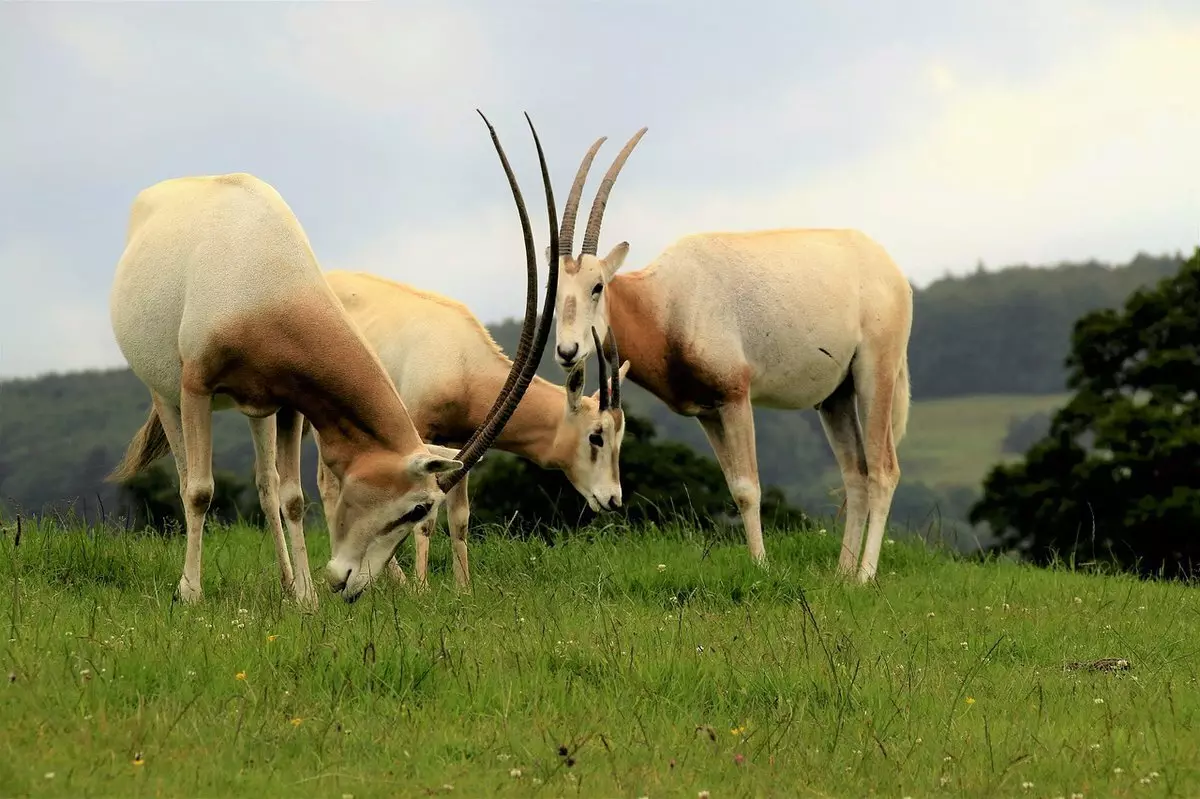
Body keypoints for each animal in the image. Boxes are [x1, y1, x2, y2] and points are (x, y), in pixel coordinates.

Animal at [105, 110, 559, 604]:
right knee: (188, 476)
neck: (267, 285)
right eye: (417, 507)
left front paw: (306, 598)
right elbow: (201, 491)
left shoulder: (288, 405)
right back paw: (192, 584)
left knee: (266, 487)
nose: (350, 584)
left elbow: (292, 497)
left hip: (257, 410)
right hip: (169, 394)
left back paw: (286, 581)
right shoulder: (199, 385)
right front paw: (190, 594)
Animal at [304, 267, 633, 585]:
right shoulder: (420, 440)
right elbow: (425, 520)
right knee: (329, 487)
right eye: (596, 436)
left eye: (619, 438)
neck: (462, 362)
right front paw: (421, 590)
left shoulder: (457, 446)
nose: (613, 499)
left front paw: (464, 589)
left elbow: (459, 518)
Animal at [549, 128, 907, 578]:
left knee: (882, 471)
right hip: (835, 397)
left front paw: (762, 569)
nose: (567, 350)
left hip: (876, 373)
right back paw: (841, 575)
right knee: (856, 473)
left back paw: (862, 578)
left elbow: (749, 489)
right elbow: (735, 488)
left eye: (596, 286)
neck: (666, 301)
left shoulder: (736, 397)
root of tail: (891, 270)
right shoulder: (708, 411)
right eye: (555, 293)